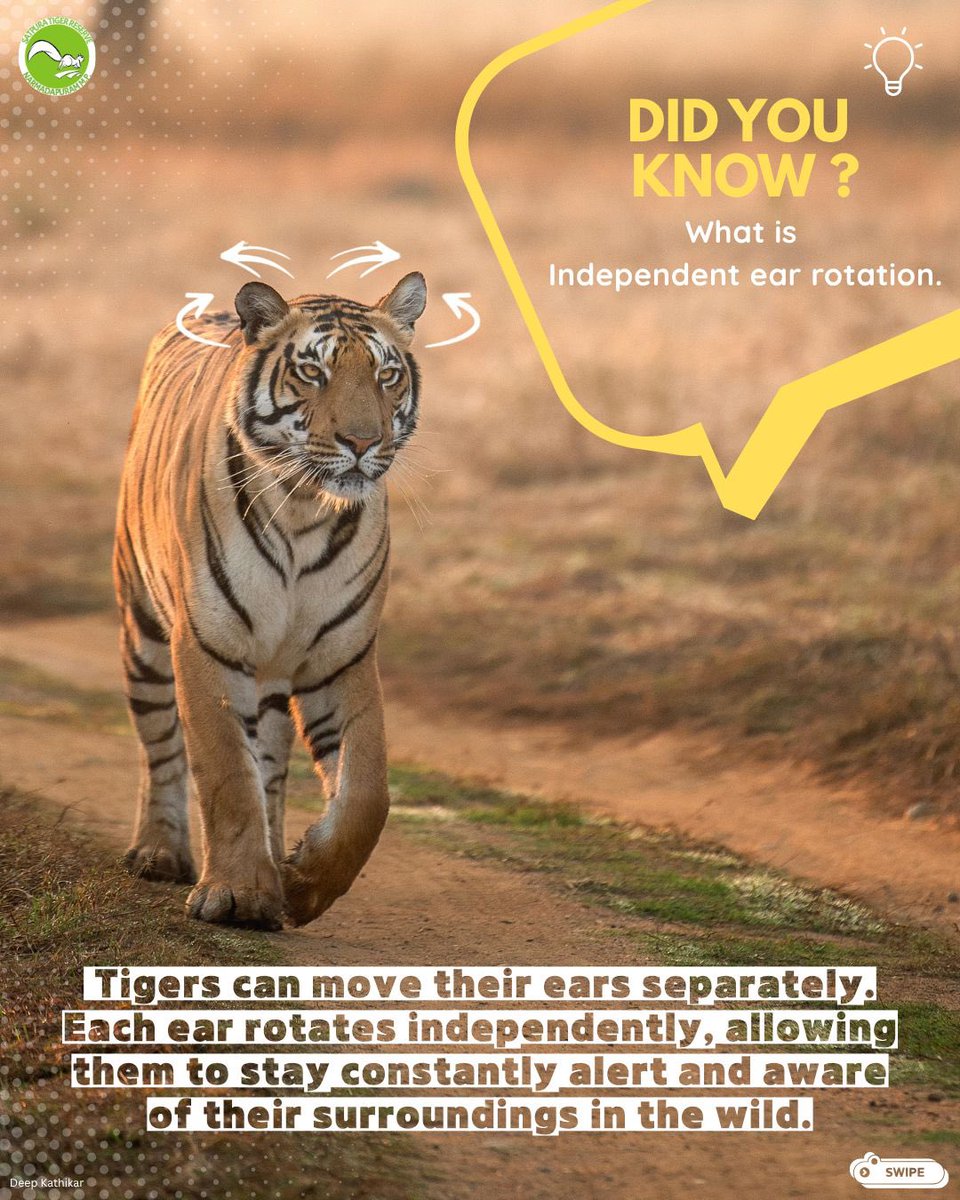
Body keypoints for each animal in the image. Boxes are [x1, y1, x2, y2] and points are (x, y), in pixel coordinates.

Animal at [112, 272, 427, 929]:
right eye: (313, 371)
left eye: (387, 374)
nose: (363, 441)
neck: (306, 509)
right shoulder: (208, 647)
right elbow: (227, 774)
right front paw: (237, 894)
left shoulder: (343, 658)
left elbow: (367, 795)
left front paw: (304, 881)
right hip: (143, 632)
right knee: (160, 746)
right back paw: (158, 851)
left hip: (273, 678)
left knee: (274, 764)